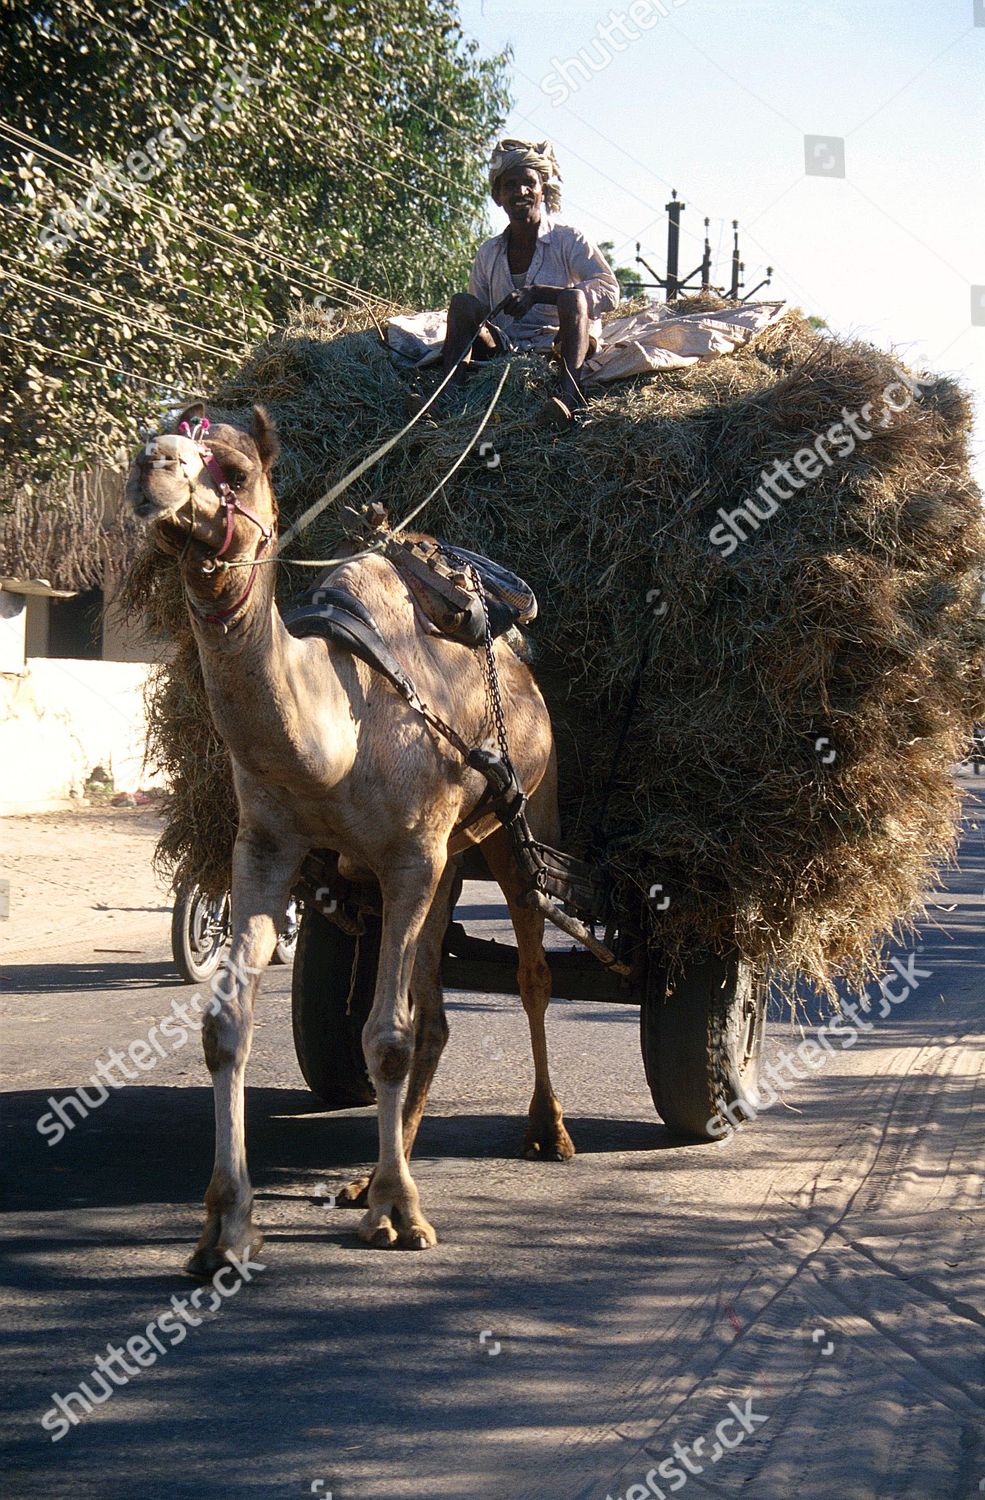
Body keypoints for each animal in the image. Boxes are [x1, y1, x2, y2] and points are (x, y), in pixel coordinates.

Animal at [126, 401, 573, 1273]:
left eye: (233, 469)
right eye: (148, 445)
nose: (150, 470)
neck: (333, 733)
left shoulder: (409, 854)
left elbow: (387, 1037)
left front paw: (400, 1215)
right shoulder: (266, 848)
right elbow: (227, 1028)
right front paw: (225, 1227)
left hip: (520, 826)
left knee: (532, 971)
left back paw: (546, 1130)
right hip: (449, 859)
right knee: (434, 1005)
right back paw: (371, 1176)